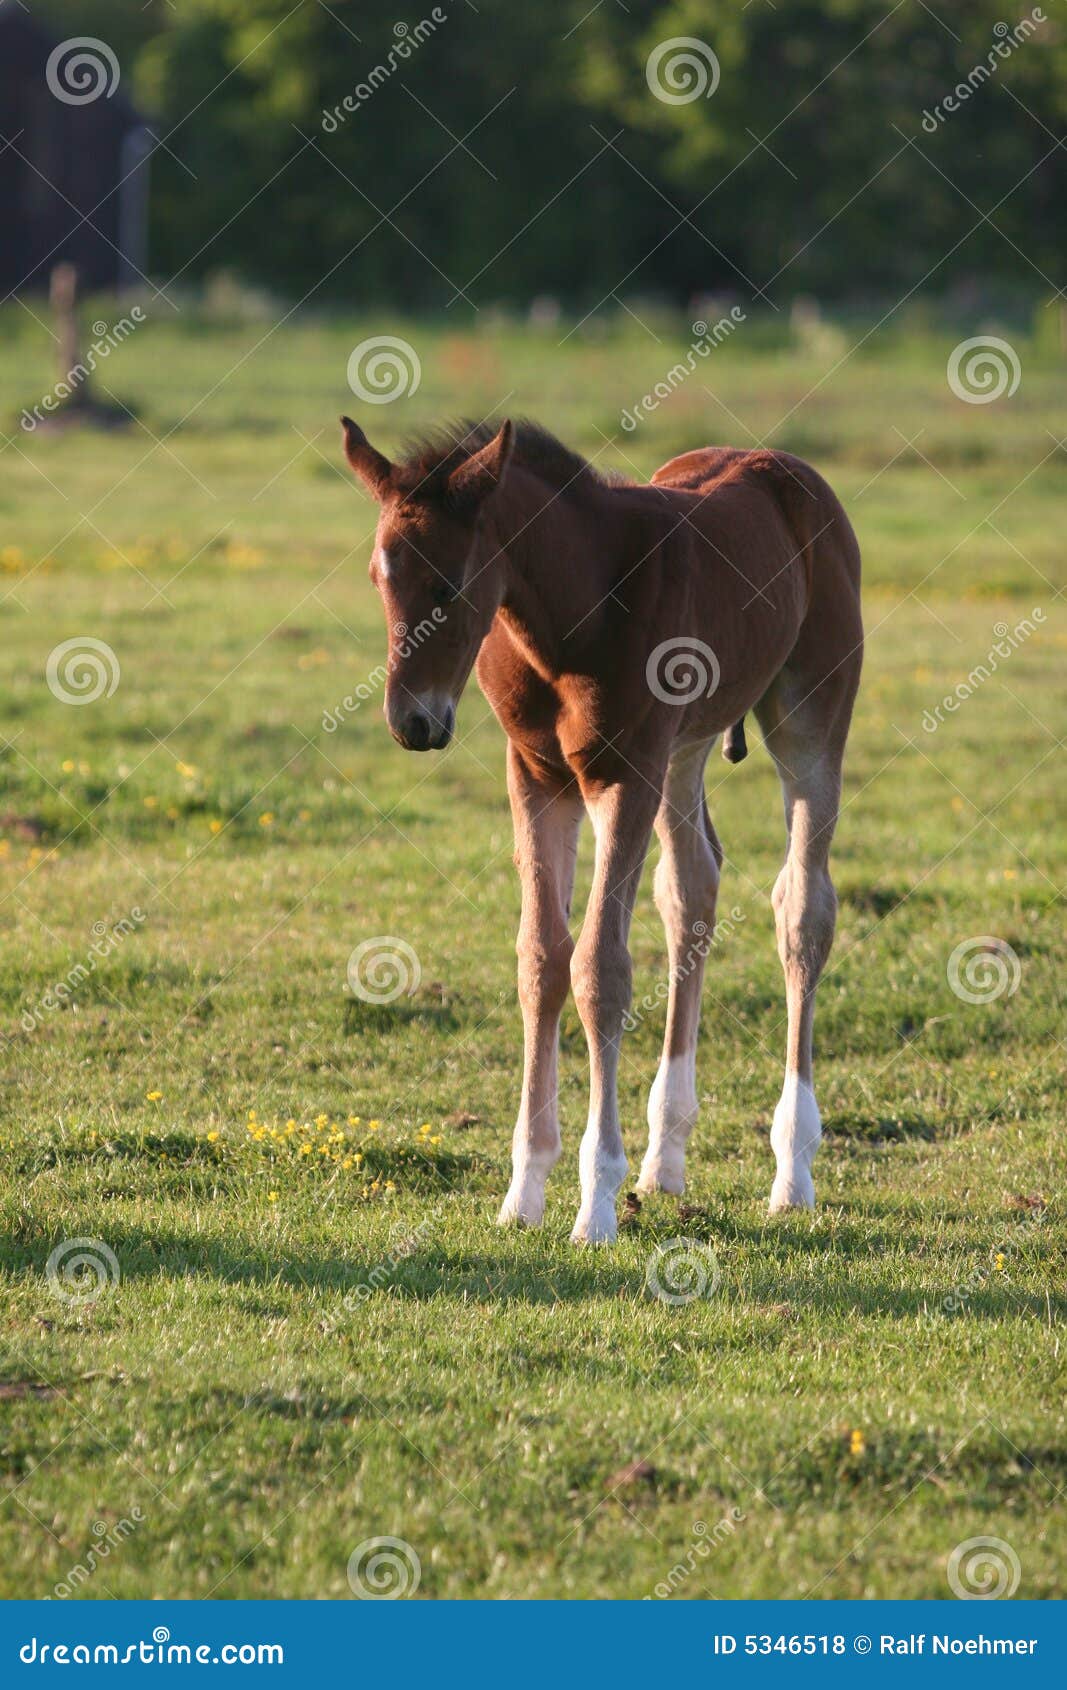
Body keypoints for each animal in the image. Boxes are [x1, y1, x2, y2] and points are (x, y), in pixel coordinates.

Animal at [340, 414, 863, 1244]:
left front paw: (595, 1202)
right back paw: (665, 1160)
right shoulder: (537, 774)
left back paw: (792, 1172)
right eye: (376, 578)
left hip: (809, 712)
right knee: (690, 890)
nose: (411, 723)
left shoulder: (624, 771)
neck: (572, 614)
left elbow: (600, 970)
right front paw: (523, 1192)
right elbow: (539, 960)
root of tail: (787, 469)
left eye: (449, 585)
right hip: (684, 749)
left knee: (803, 909)